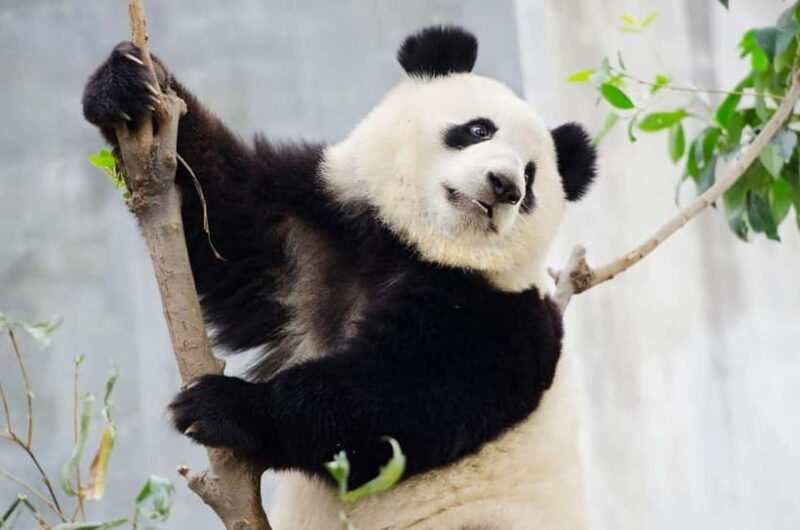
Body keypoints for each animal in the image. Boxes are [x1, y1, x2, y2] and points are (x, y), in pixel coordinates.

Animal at [83, 25, 597, 530]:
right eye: (478, 129)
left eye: (532, 178)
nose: (506, 186)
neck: (416, 247)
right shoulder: (316, 235)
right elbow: (224, 216)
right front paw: (130, 83)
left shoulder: (498, 317)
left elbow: (396, 408)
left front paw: (223, 406)